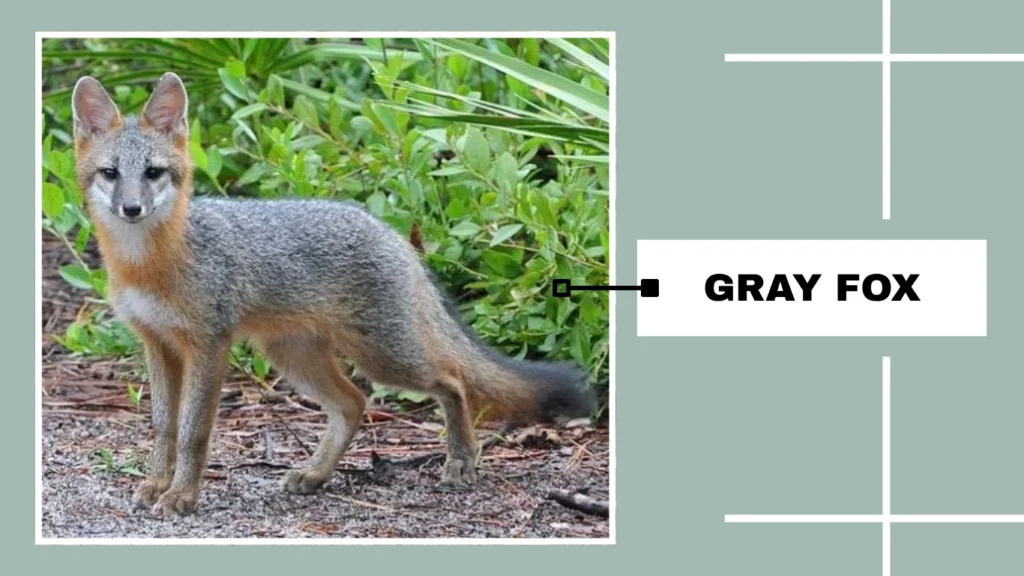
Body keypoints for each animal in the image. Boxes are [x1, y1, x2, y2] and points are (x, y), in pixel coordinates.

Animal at [69, 72, 596, 517]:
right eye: (111, 174)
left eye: (153, 173)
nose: (132, 208)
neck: (150, 263)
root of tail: (391, 231)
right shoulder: (156, 343)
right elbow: (164, 426)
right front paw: (158, 485)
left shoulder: (208, 345)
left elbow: (193, 431)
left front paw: (182, 496)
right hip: (297, 358)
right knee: (353, 404)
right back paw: (317, 474)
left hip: (385, 358)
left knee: (452, 380)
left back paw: (461, 459)